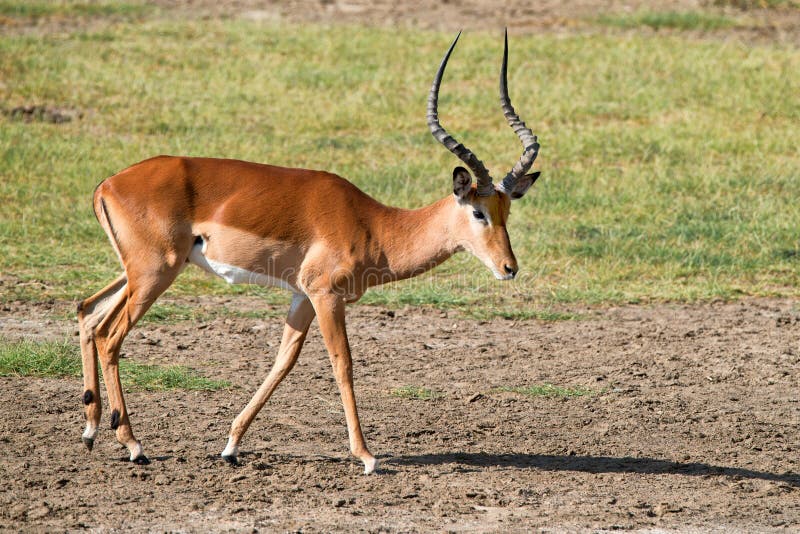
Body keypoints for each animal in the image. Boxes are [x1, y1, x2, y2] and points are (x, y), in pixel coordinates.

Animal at [77, 30, 540, 474]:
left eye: (507, 210)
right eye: (478, 212)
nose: (509, 267)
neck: (374, 225)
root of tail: (107, 184)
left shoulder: (301, 296)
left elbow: (283, 362)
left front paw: (231, 446)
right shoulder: (326, 295)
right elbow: (343, 364)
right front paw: (367, 456)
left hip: (137, 273)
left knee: (88, 312)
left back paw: (91, 431)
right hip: (157, 272)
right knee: (109, 335)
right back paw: (133, 446)